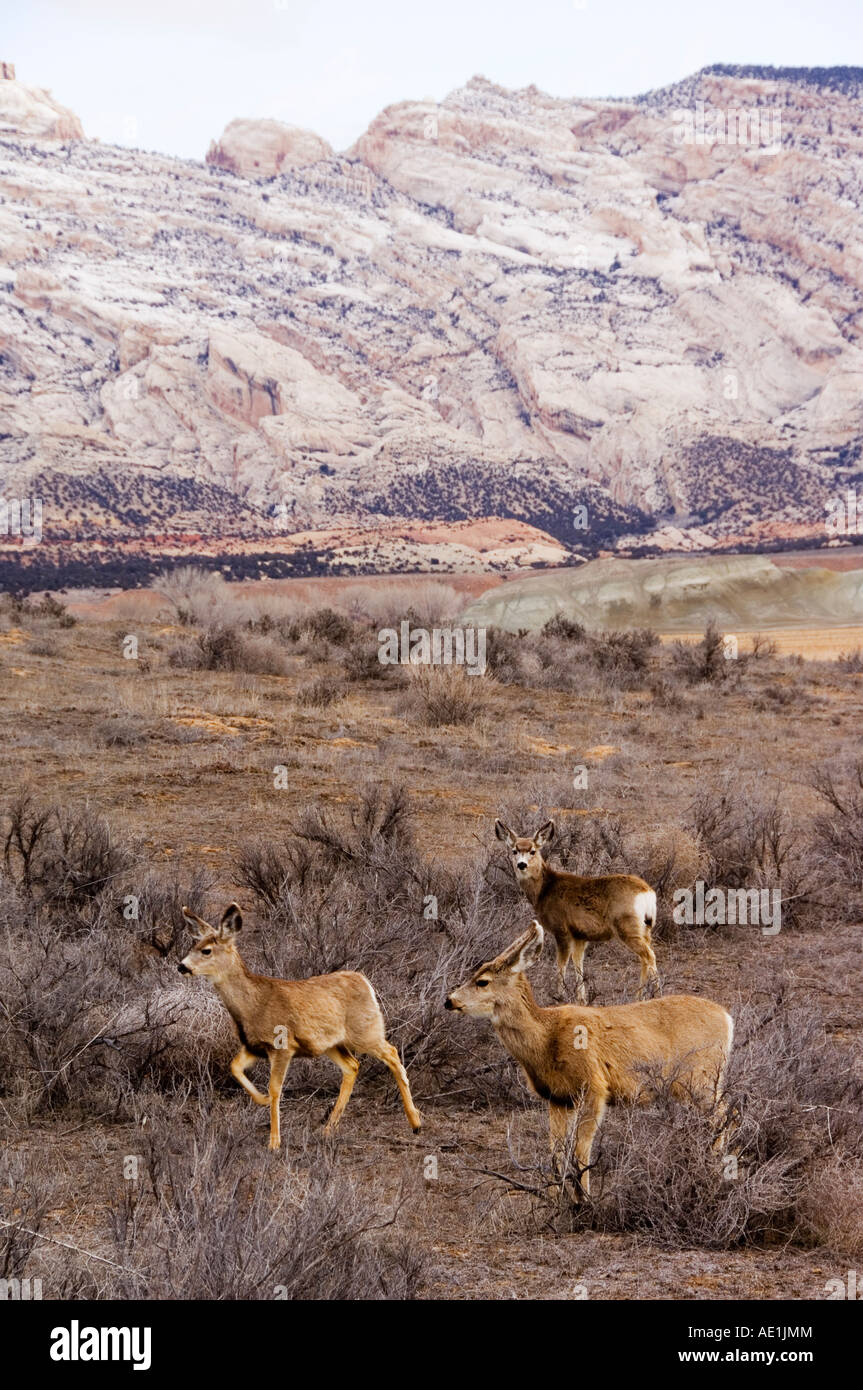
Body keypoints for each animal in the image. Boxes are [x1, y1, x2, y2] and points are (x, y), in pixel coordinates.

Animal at [177, 903, 422, 1149]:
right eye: (192, 945)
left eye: (206, 950)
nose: (181, 966)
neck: (253, 1006)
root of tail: (365, 982)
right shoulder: (253, 1046)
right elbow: (234, 1067)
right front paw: (262, 1100)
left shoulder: (282, 1044)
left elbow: (275, 1088)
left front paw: (274, 1142)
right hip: (331, 1044)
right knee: (352, 1066)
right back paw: (328, 1129)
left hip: (365, 1030)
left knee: (391, 1053)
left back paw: (416, 1122)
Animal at [445, 920, 732, 1197]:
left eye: (482, 981)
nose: (449, 1000)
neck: (546, 1038)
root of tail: (727, 1018)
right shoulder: (559, 1098)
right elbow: (556, 1152)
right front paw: (559, 1199)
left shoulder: (594, 1086)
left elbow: (581, 1151)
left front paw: (585, 1199)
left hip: (700, 1078)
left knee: (726, 1113)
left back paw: (718, 1172)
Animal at [495, 818, 658, 1001]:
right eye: (515, 850)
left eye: (532, 851)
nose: (521, 864)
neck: (545, 890)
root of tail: (647, 892)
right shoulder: (580, 935)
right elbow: (578, 964)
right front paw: (582, 998)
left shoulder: (561, 929)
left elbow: (561, 963)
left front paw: (559, 995)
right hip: (645, 928)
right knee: (644, 956)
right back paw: (639, 996)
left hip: (627, 925)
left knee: (649, 955)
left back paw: (656, 993)